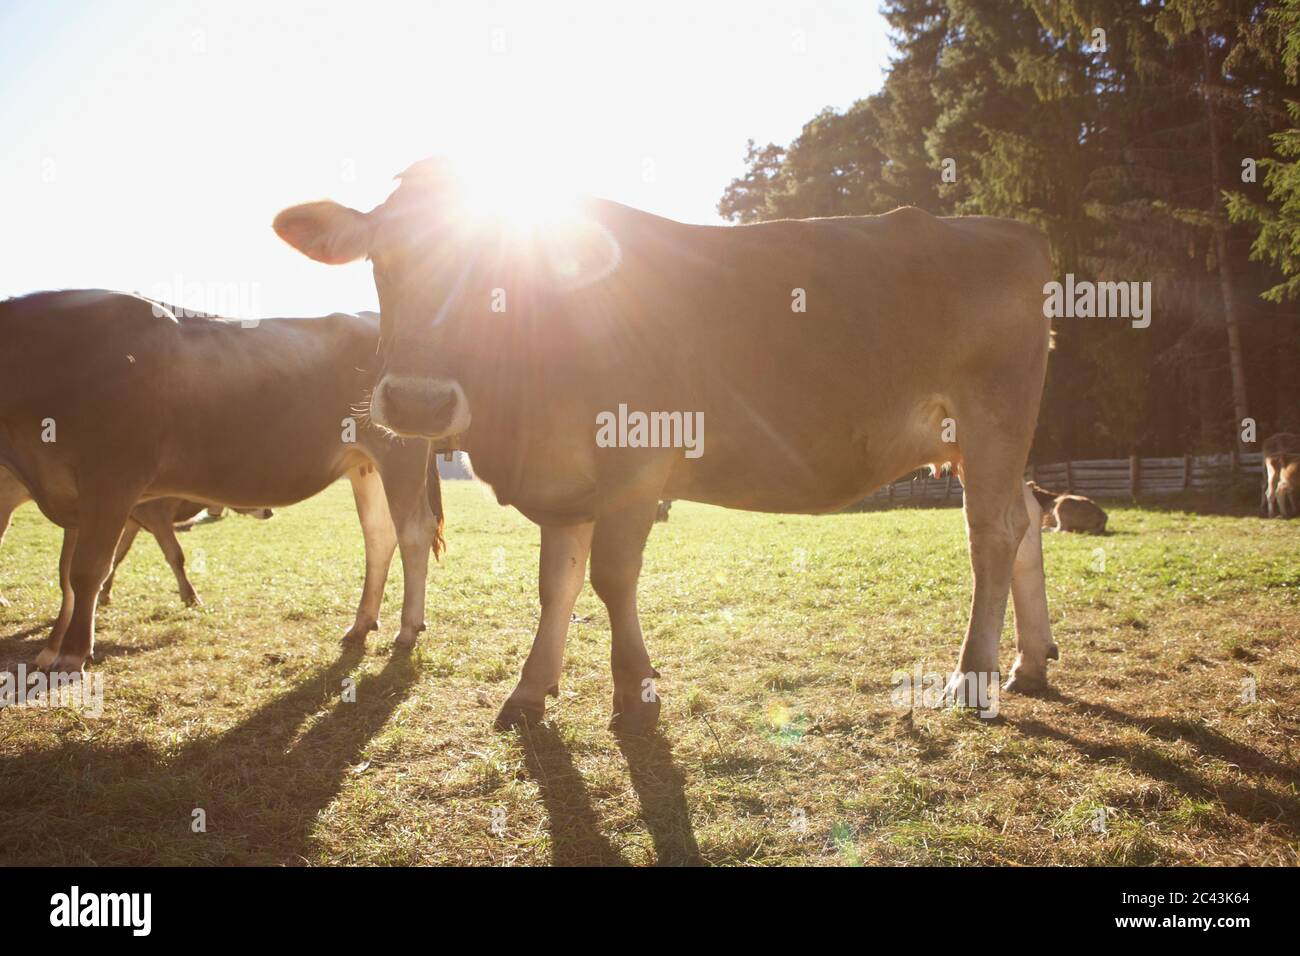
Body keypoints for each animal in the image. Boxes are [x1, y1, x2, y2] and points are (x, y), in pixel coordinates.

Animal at [0, 290, 444, 676]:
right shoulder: (70, 495)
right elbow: (66, 577)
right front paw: (52, 649)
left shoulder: (111, 481)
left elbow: (86, 572)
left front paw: (72, 655)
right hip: (365, 466)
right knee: (379, 536)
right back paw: (362, 623)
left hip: (399, 451)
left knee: (413, 531)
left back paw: (407, 628)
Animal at [273, 159, 1056, 733]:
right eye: (382, 259)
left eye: (492, 269)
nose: (418, 402)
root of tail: (1013, 233)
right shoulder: (565, 486)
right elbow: (556, 583)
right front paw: (530, 691)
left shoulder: (636, 463)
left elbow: (612, 579)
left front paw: (634, 692)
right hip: (984, 443)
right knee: (1025, 518)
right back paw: (1031, 660)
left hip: (994, 418)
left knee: (990, 532)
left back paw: (974, 674)